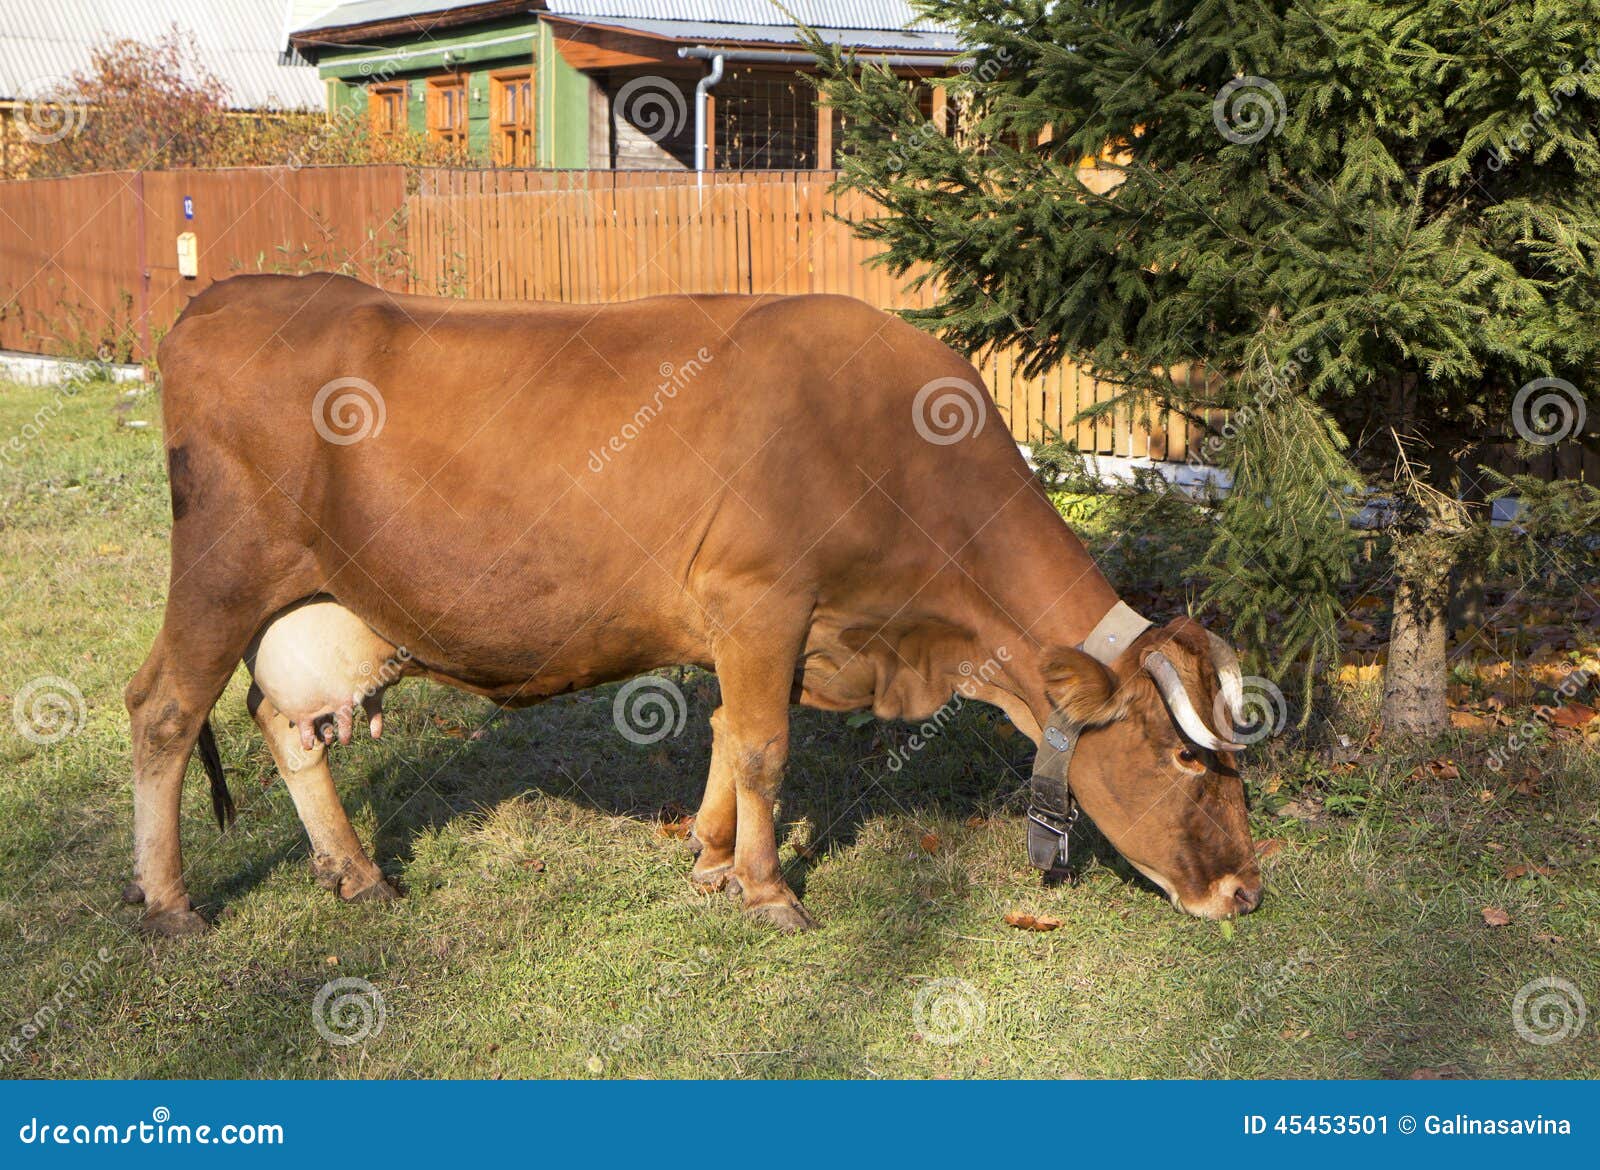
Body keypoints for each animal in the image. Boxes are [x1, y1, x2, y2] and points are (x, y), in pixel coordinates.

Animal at [124, 274, 1262, 937]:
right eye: (1184, 757)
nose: (1245, 890)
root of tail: (226, 296)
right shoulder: (761, 598)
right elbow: (762, 746)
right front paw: (766, 889)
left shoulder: (767, 626)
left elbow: (725, 733)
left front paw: (712, 861)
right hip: (224, 567)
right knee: (163, 711)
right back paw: (170, 903)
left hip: (318, 601)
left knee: (286, 721)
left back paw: (355, 873)